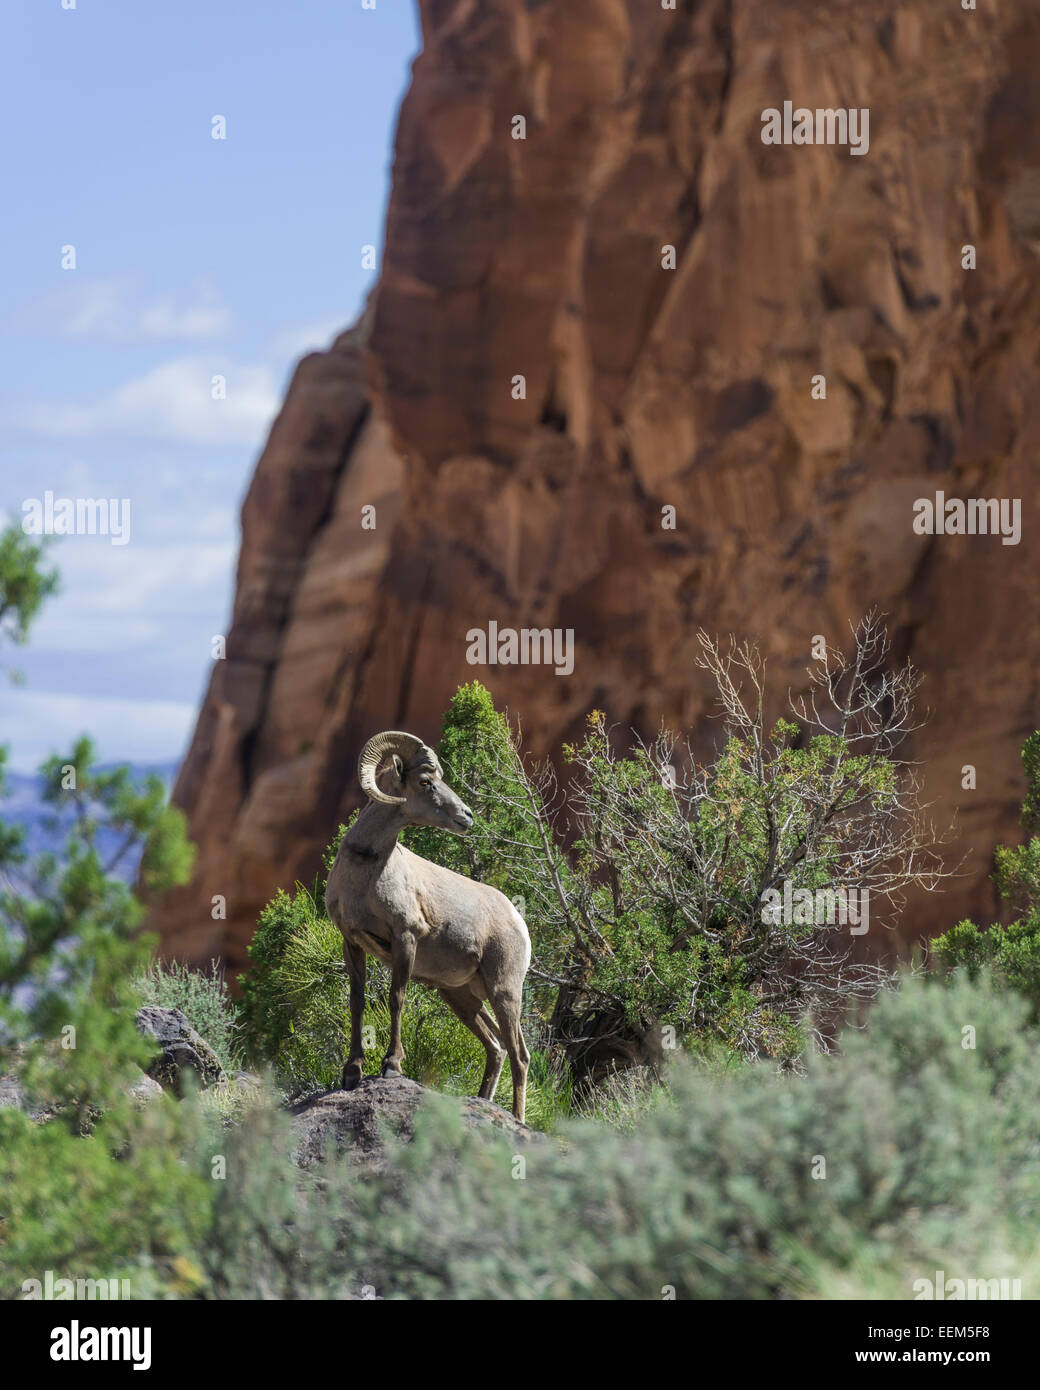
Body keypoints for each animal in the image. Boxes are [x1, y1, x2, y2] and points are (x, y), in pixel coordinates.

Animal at [324, 730, 532, 1121]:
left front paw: (392, 1065)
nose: (466, 816)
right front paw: (352, 1071)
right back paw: (482, 1100)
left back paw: (516, 1119)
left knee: (520, 1056)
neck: (366, 868)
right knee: (496, 1047)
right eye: (425, 782)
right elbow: (356, 1002)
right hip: (461, 997)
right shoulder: (352, 941)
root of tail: (517, 918)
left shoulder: (405, 938)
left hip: (505, 991)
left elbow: (397, 997)